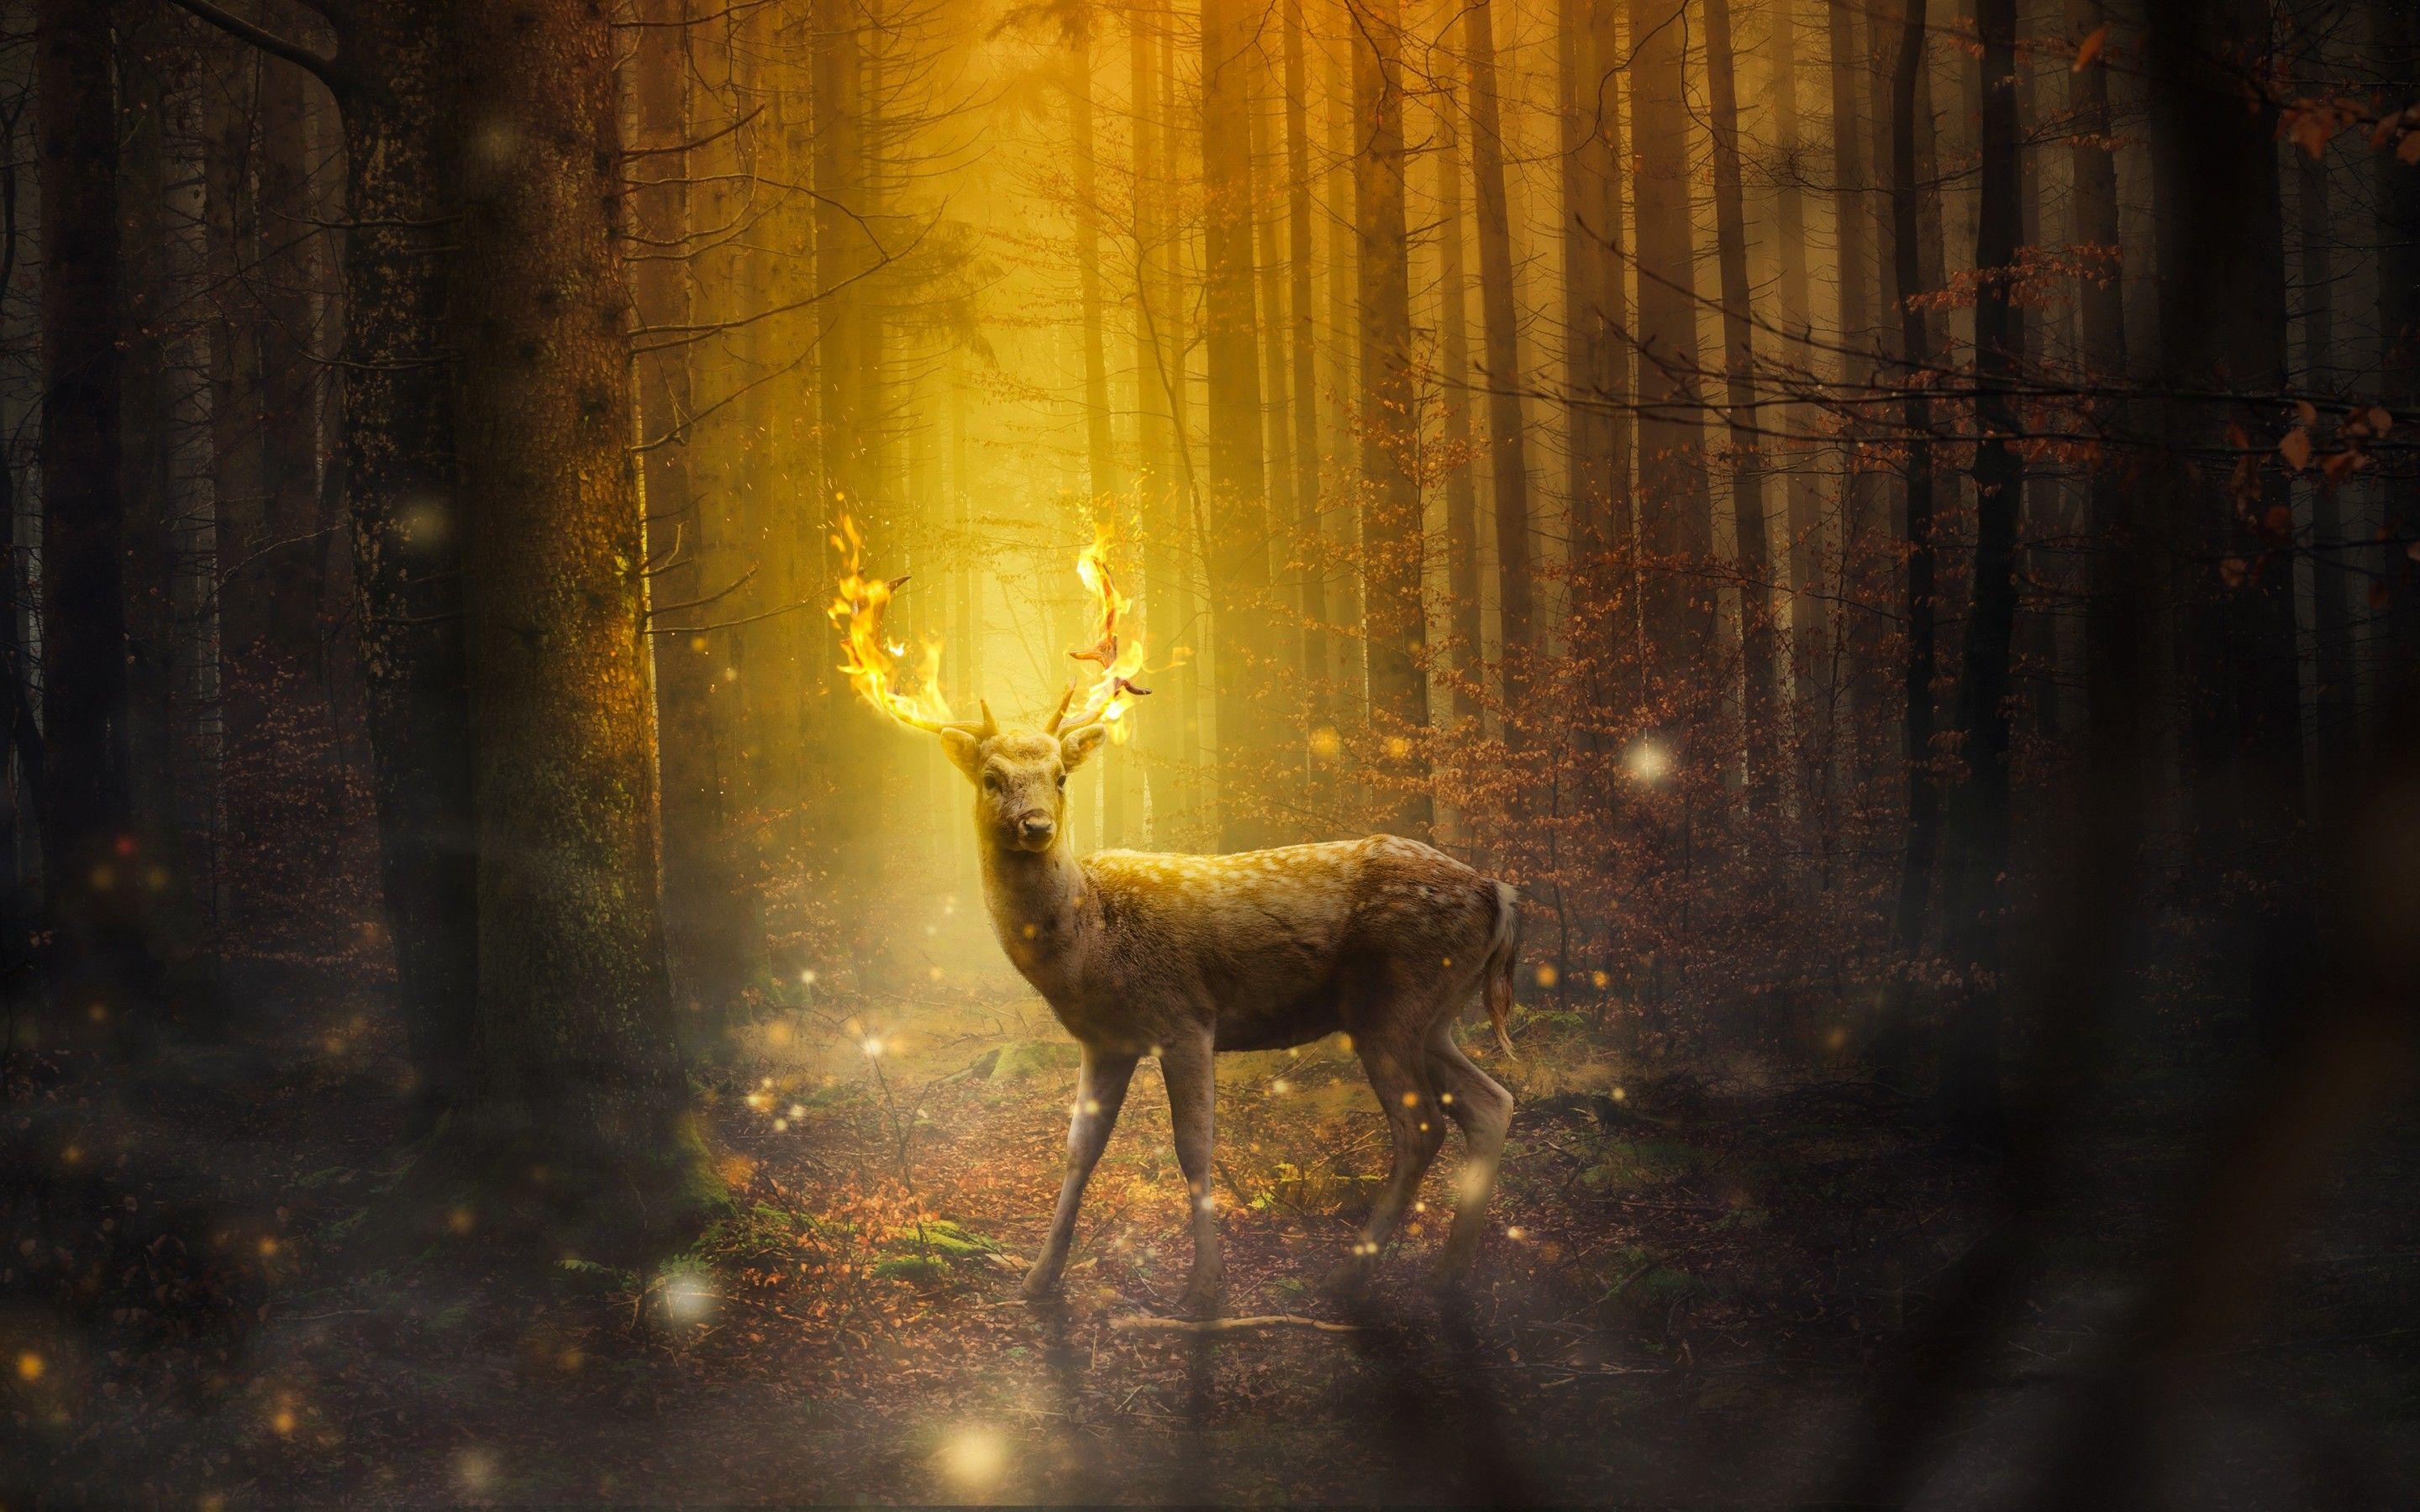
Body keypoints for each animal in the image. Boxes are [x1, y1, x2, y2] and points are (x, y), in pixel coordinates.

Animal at [899, 692, 1522, 1318]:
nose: (1037, 825)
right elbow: (1080, 1148)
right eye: (990, 777)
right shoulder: (1104, 1042)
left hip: (1391, 1004)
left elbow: (1194, 1147)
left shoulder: (1185, 1019)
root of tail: (1497, 892)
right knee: (1492, 1102)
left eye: (1061, 776)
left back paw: (1346, 1279)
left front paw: (1204, 1288)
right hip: (1432, 1018)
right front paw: (1038, 1279)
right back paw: (1448, 1275)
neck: (1089, 940)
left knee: (1421, 1126)